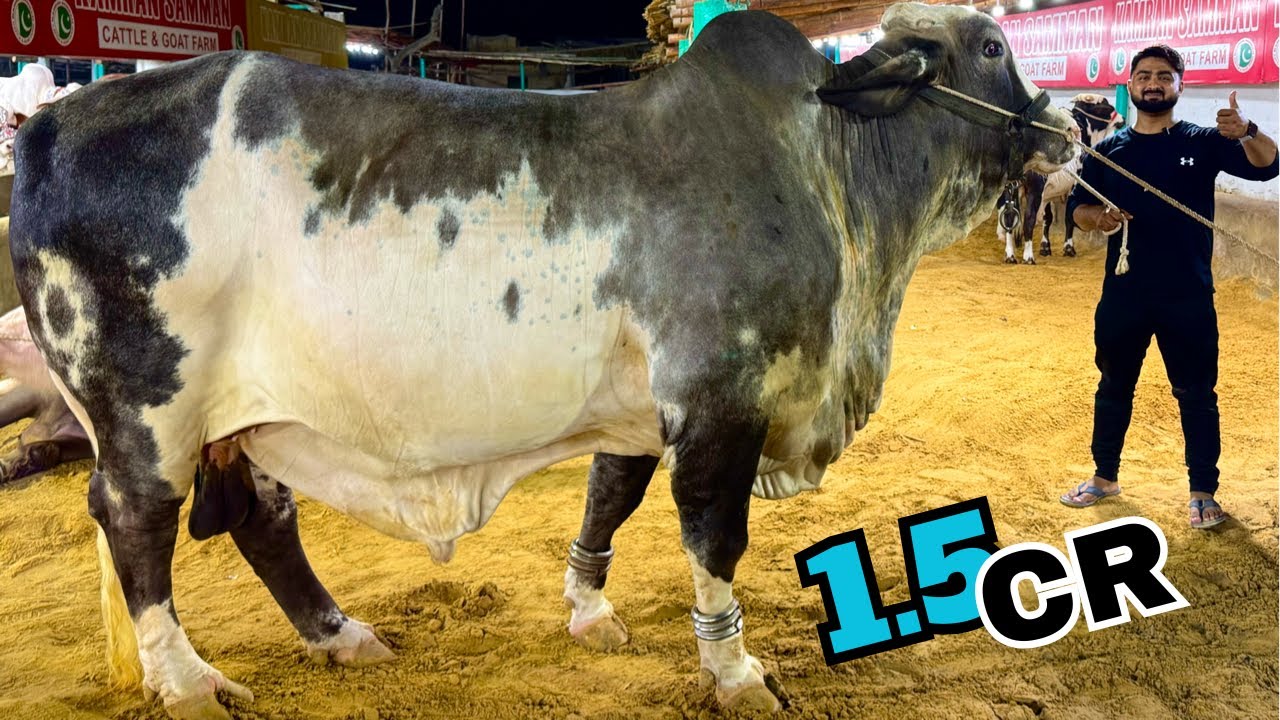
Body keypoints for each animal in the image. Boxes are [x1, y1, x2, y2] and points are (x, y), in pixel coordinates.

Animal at [10, 4, 1075, 717]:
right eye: (992, 46)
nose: (1072, 128)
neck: (829, 161)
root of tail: (50, 125)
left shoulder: (643, 404)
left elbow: (611, 496)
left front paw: (589, 609)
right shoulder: (720, 396)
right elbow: (712, 539)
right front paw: (734, 670)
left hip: (251, 417)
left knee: (263, 523)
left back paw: (344, 638)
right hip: (146, 411)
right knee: (135, 526)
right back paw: (189, 680)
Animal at [999, 93, 1122, 264]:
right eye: (1107, 106)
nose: (1123, 119)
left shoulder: (1049, 193)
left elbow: (1048, 218)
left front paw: (1045, 247)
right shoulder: (1072, 186)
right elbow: (1068, 217)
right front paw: (1069, 247)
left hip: (1010, 189)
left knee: (1009, 218)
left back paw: (1010, 254)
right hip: (1035, 189)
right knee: (1028, 219)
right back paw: (1028, 256)